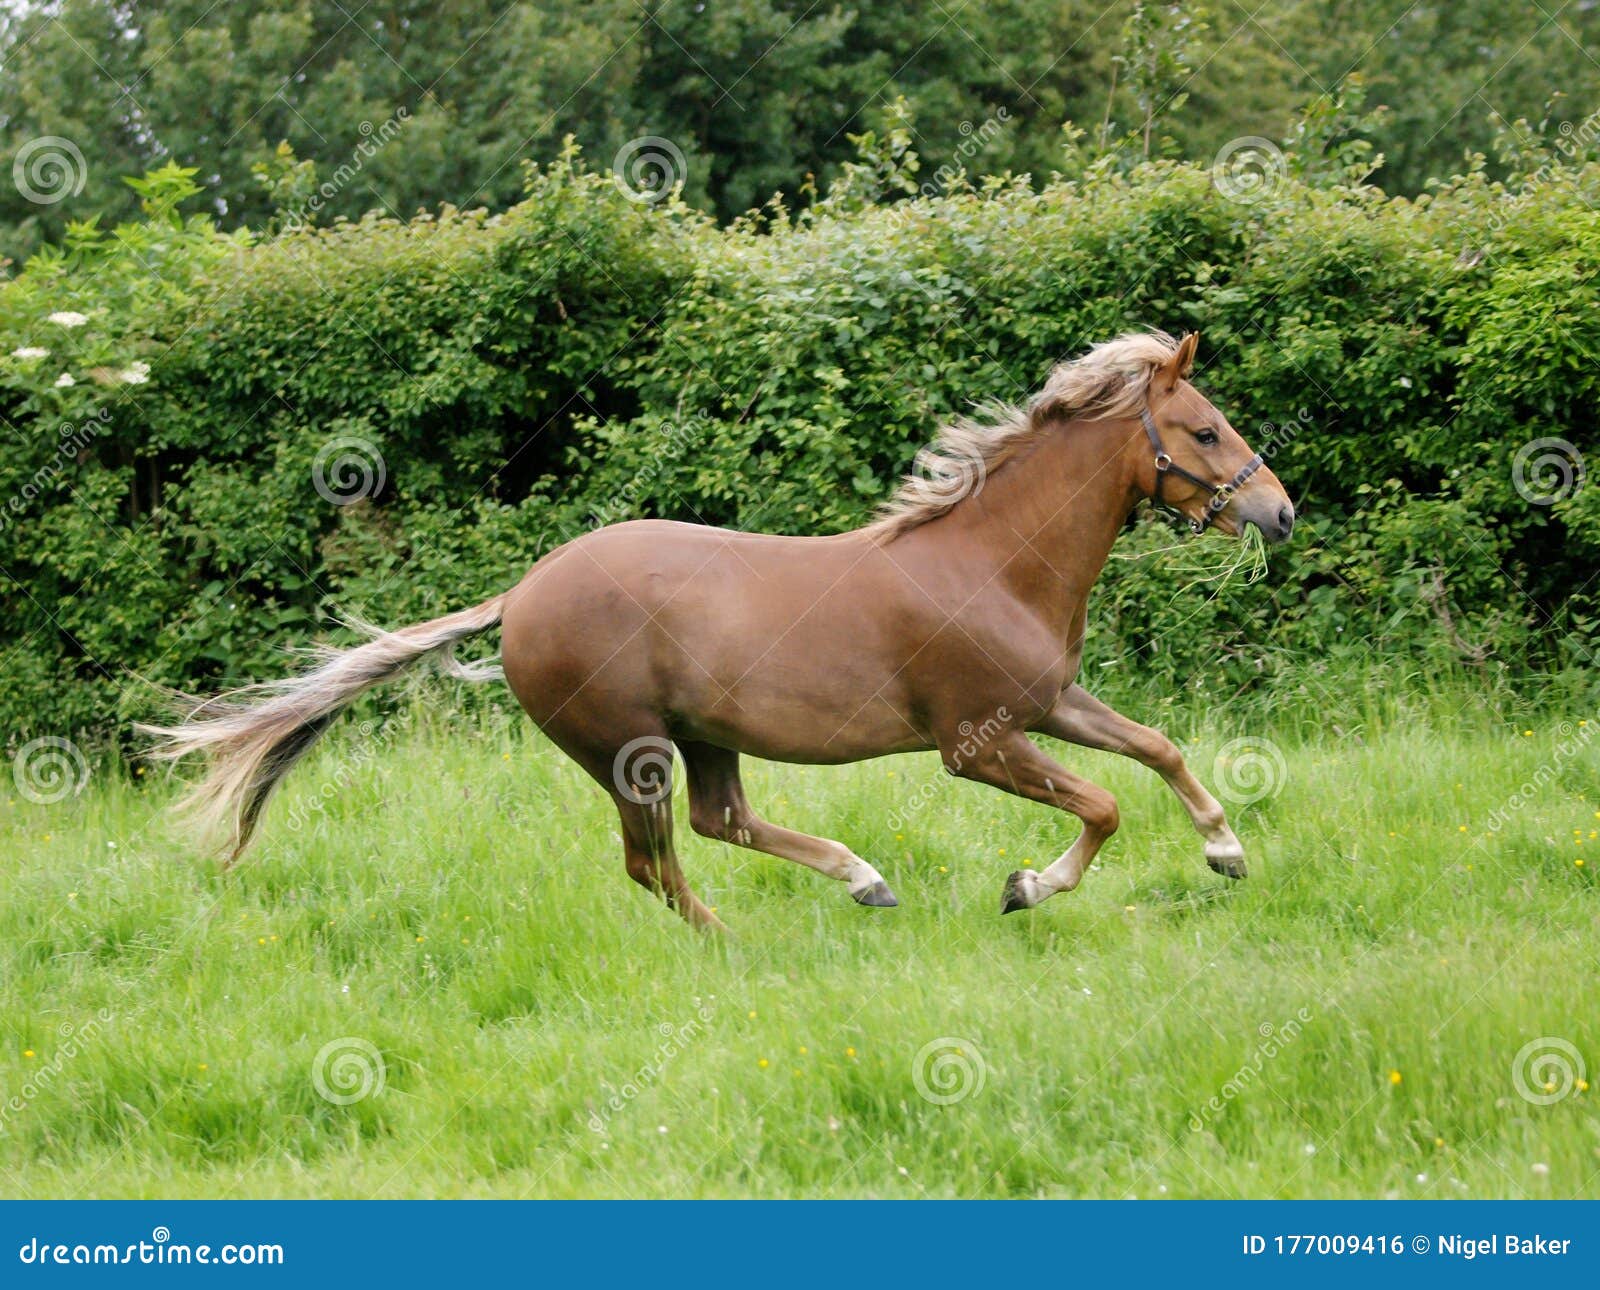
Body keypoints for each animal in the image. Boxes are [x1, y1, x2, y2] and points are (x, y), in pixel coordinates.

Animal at [142, 330, 1294, 931]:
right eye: (1203, 430)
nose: (1278, 513)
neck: (991, 560)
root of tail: (522, 594)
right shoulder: (977, 743)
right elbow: (1102, 804)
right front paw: (1026, 887)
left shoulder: (1047, 702)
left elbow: (1158, 749)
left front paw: (1228, 851)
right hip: (627, 748)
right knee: (654, 862)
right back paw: (734, 938)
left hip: (702, 737)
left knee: (718, 823)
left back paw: (862, 880)